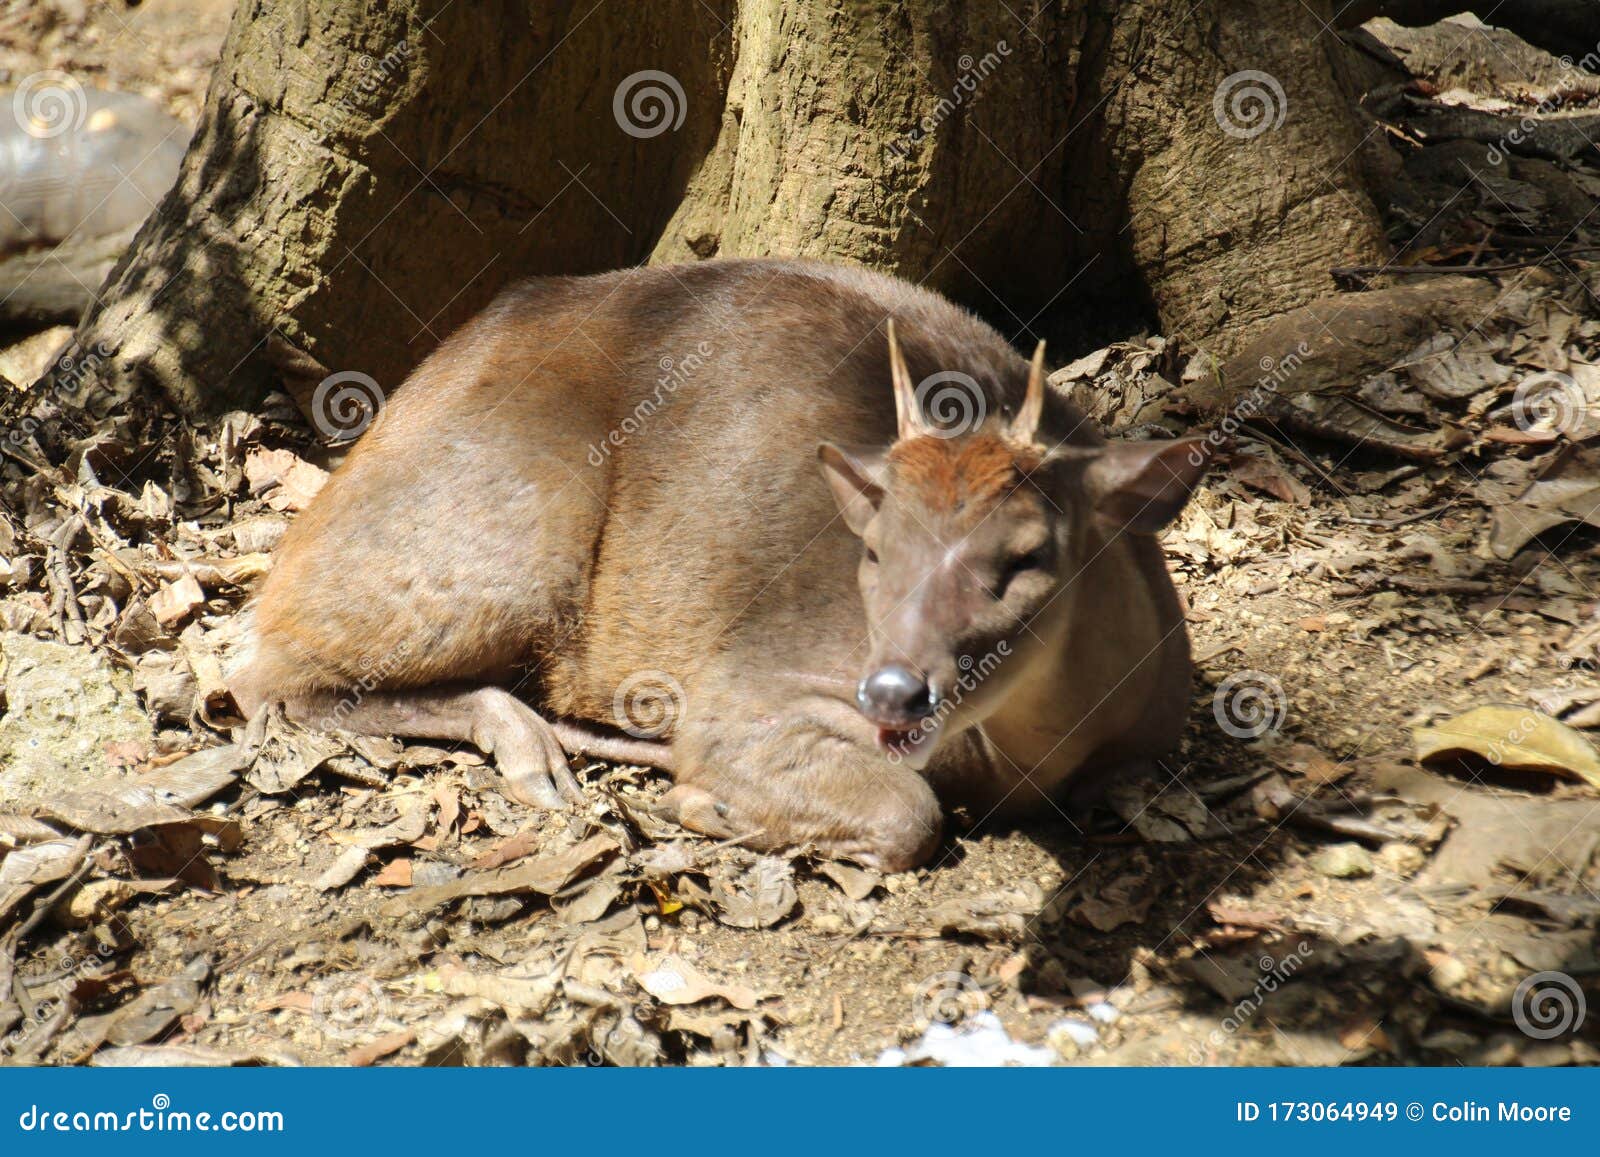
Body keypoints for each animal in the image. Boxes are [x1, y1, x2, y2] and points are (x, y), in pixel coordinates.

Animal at [230, 258, 1205, 871]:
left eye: (1030, 553)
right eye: (875, 546)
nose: (893, 691)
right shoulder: (757, 683)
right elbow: (907, 811)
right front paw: (706, 806)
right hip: (501, 543)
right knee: (259, 671)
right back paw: (534, 747)